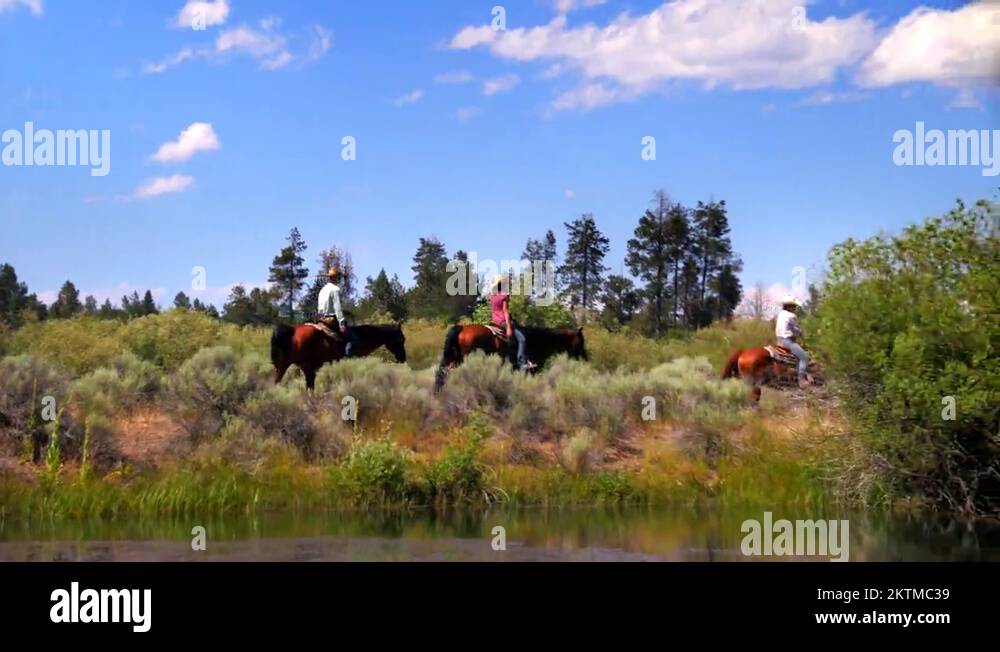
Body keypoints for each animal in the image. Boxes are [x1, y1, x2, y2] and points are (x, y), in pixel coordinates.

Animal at [270, 323, 407, 392]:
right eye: (401, 339)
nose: (403, 358)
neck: (362, 336)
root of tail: (292, 331)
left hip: (292, 367)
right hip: (299, 367)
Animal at [434, 324, 587, 391]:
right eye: (582, 341)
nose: (585, 357)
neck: (539, 340)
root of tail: (462, 327)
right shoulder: (531, 370)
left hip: (453, 359)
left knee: (442, 375)